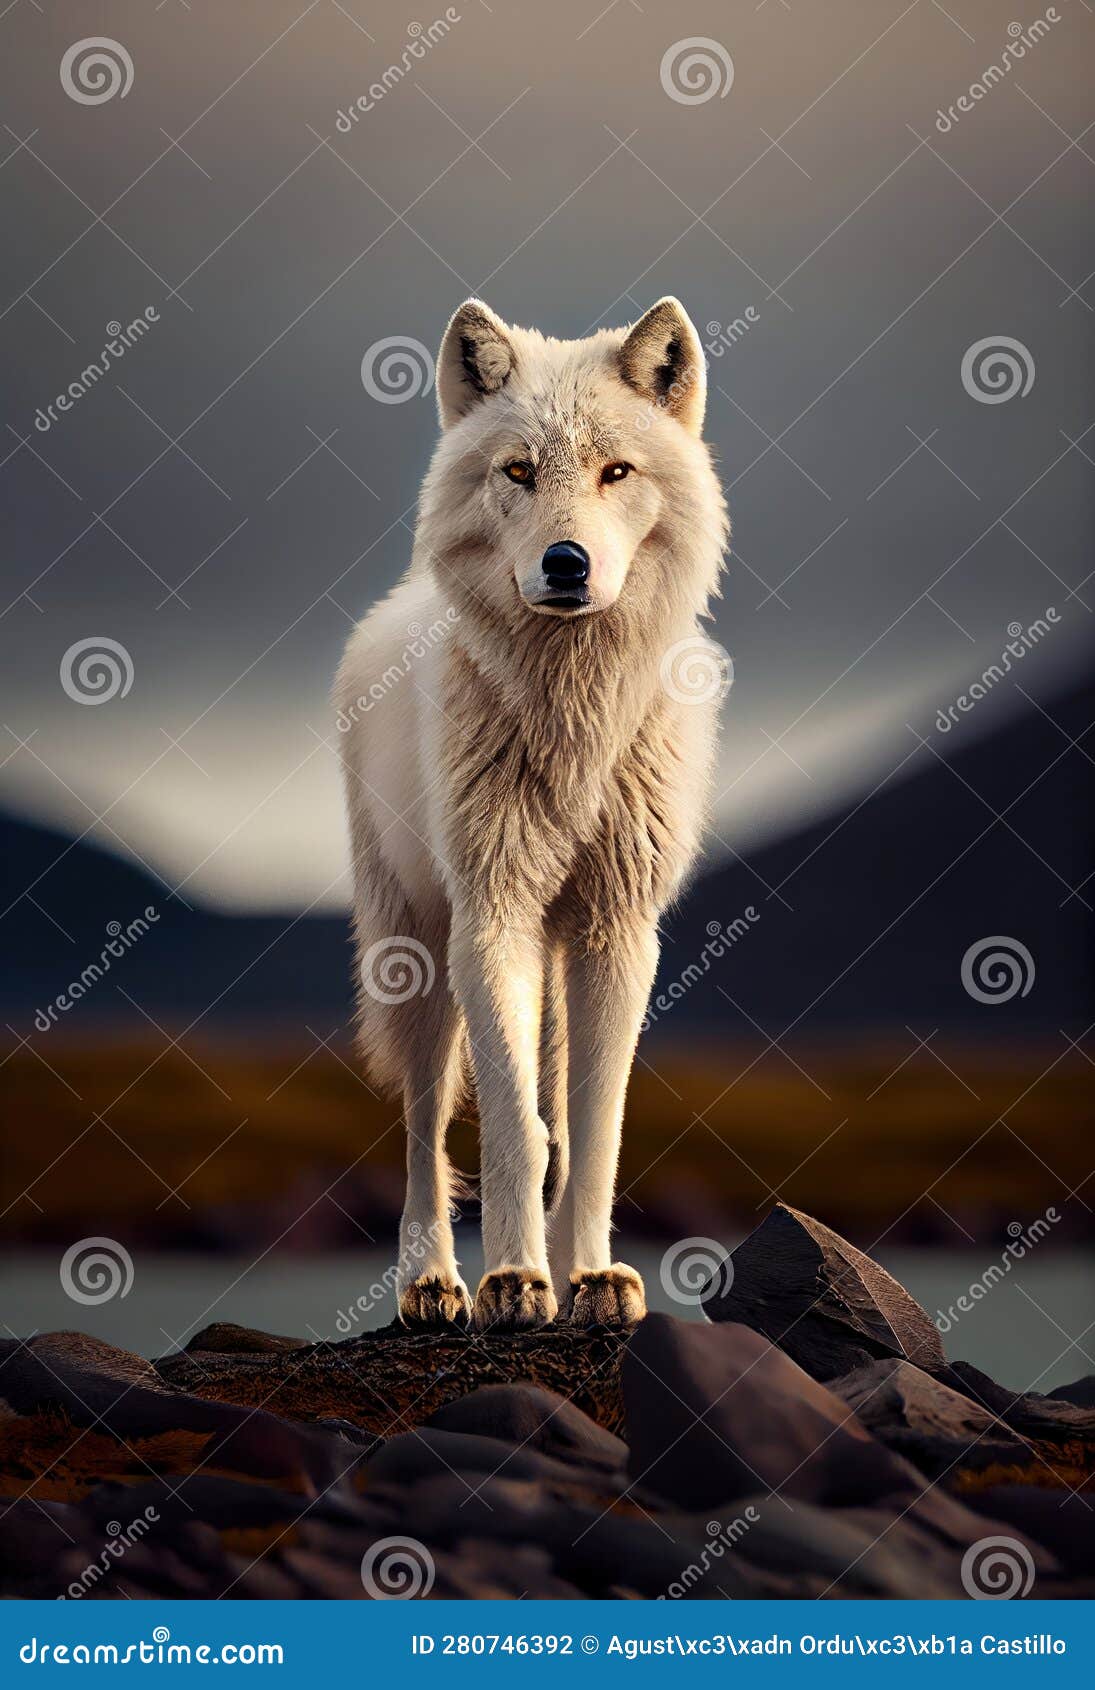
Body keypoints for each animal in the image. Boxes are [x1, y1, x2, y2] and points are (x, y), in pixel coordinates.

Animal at [335, 296, 729, 1332]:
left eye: (614, 472)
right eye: (517, 471)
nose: (565, 562)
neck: (572, 719)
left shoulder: (617, 932)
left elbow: (590, 1127)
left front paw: (590, 1277)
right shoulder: (493, 915)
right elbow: (515, 1124)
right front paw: (514, 1280)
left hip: (554, 952)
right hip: (416, 963)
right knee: (425, 1131)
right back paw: (432, 1284)